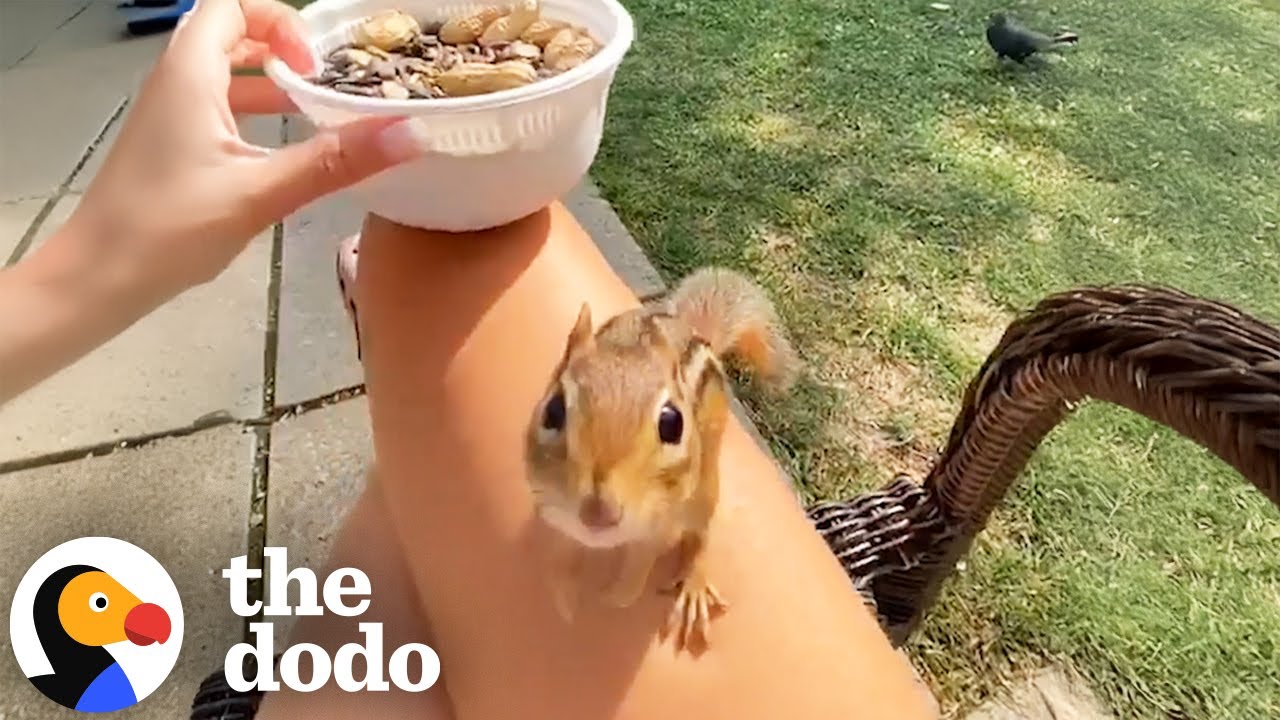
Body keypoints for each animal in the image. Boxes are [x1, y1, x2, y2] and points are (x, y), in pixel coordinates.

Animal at [523, 266, 800, 651]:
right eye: (553, 410)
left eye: (672, 423)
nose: (598, 513)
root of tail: (691, 329)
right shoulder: (554, 512)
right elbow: (559, 556)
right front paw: (563, 593)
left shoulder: (660, 521)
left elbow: (638, 570)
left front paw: (613, 597)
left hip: (703, 489)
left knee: (701, 534)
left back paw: (694, 583)